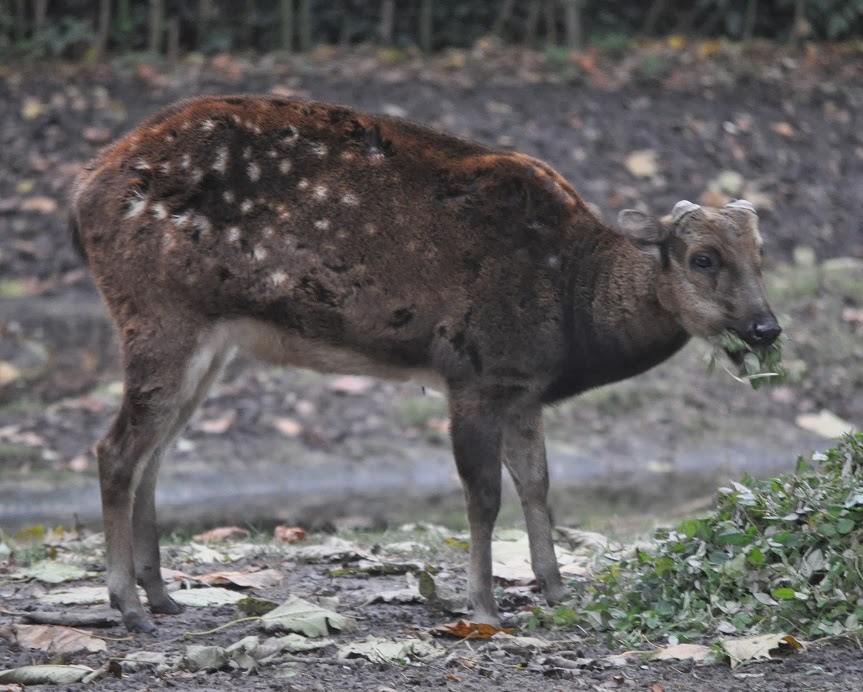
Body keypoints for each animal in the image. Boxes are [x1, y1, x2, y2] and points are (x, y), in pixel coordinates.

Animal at [69, 96, 781, 633]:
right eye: (702, 258)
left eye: (761, 255)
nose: (766, 327)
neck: (572, 306)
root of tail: (83, 191)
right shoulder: (473, 371)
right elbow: (484, 495)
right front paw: (483, 607)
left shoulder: (523, 387)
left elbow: (538, 483)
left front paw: (555, 589)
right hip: (157, 313)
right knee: (116, 450)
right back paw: (128, 607)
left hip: (209, 341)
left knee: (154, 454)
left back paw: (163, 596)